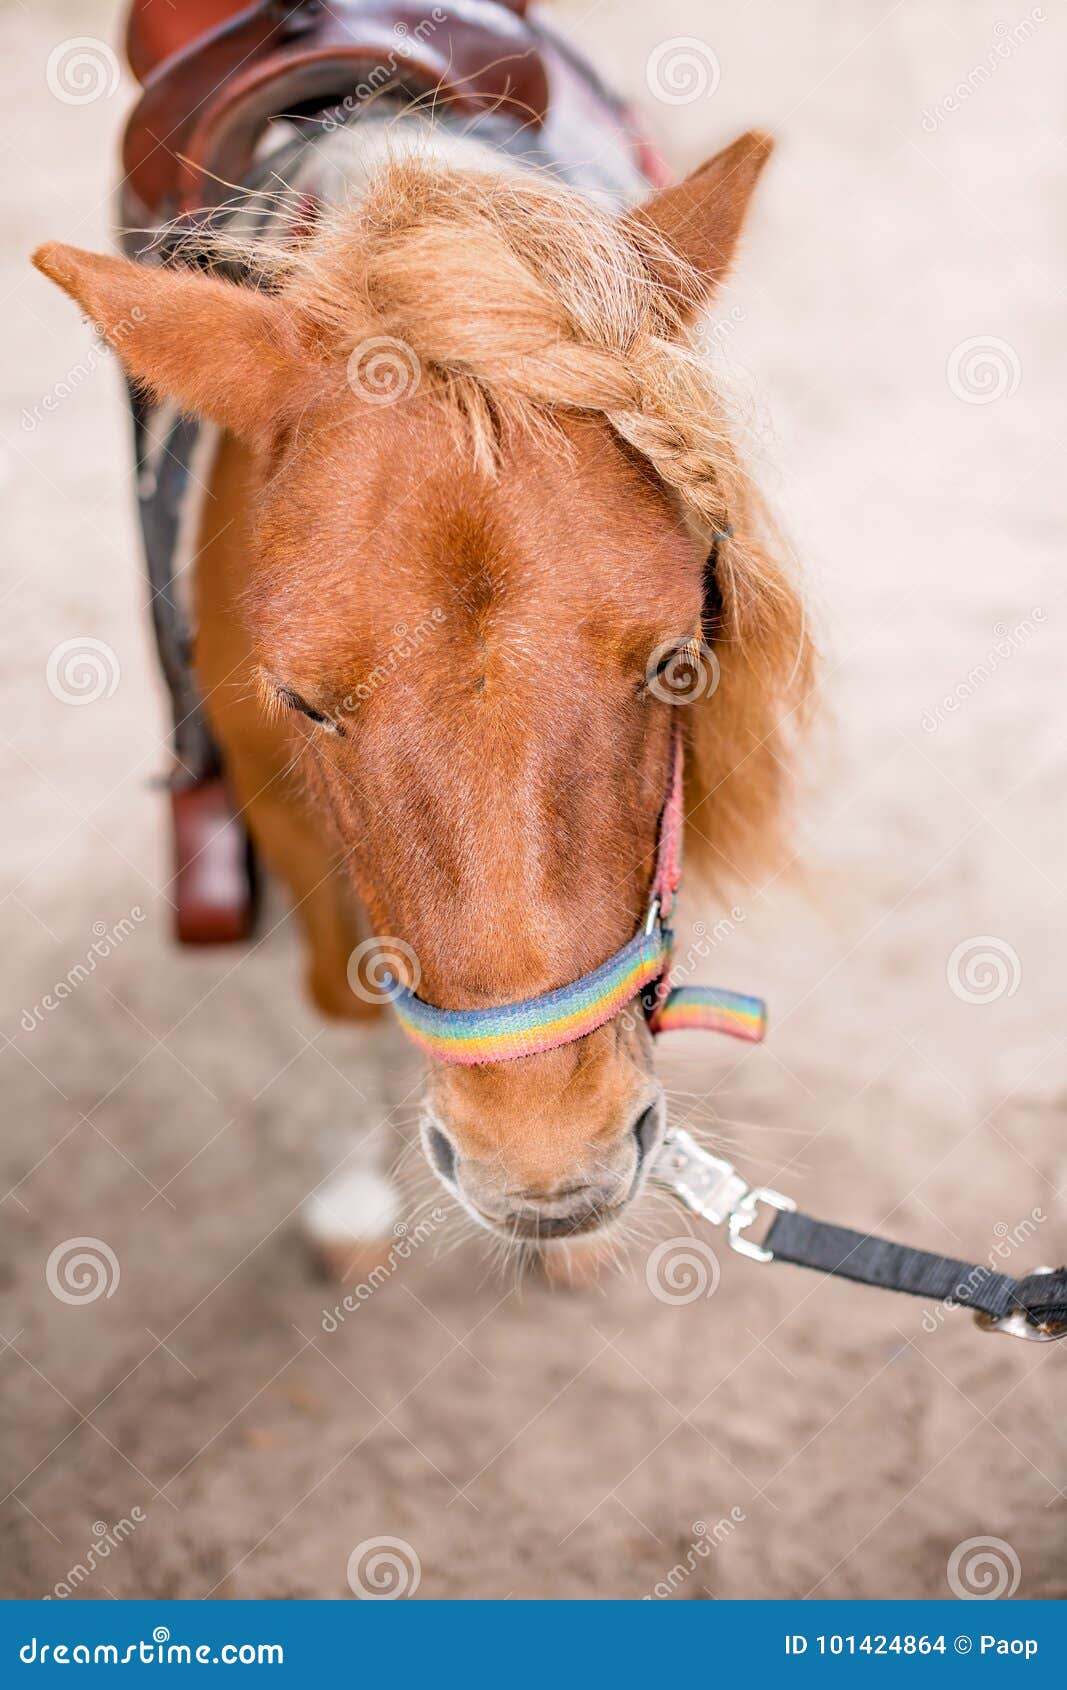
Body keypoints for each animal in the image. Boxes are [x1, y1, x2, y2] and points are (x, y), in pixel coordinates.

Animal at [34, 97, 811, 1279]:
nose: (549, 1166)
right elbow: (331, 987)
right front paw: (350, 1190)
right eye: (304, 702)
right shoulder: (277, 797)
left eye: (675, 661)